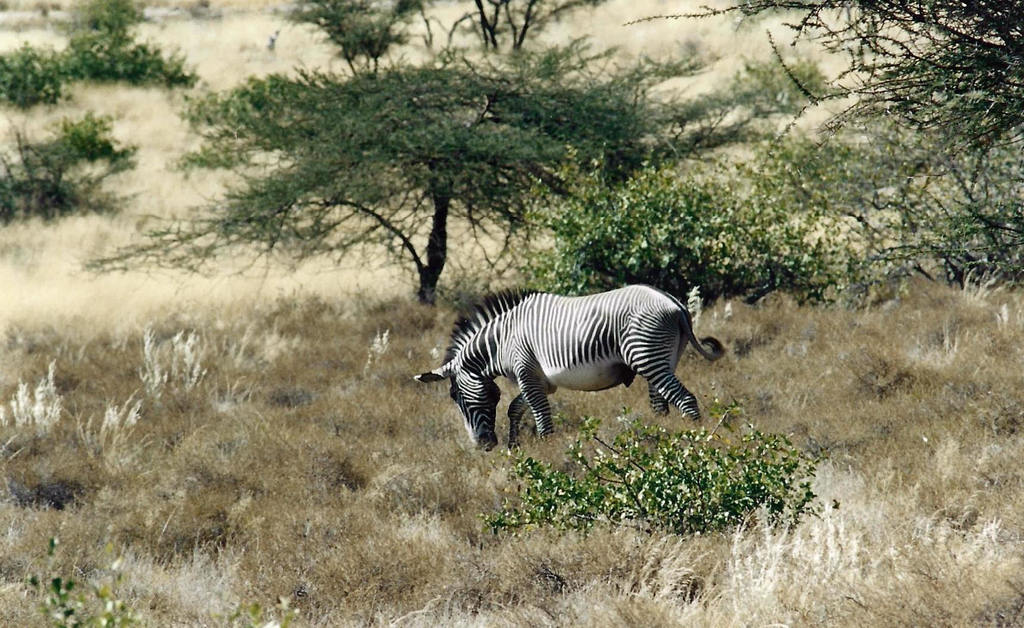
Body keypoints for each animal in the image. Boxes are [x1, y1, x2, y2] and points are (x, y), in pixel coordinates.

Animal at [415, 285, 724, 450]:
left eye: (456, 397)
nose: (484, 445)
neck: (502, 341)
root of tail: (675, 304)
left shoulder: (526, 372)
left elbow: (540, 415)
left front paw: (549, 452)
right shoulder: (540, 380)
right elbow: (516, 408)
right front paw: (515, 446)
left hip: (648, 357)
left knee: (685, 399)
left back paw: (698, 441)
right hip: (661, 359)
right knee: (662, 405)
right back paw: (664, 437)